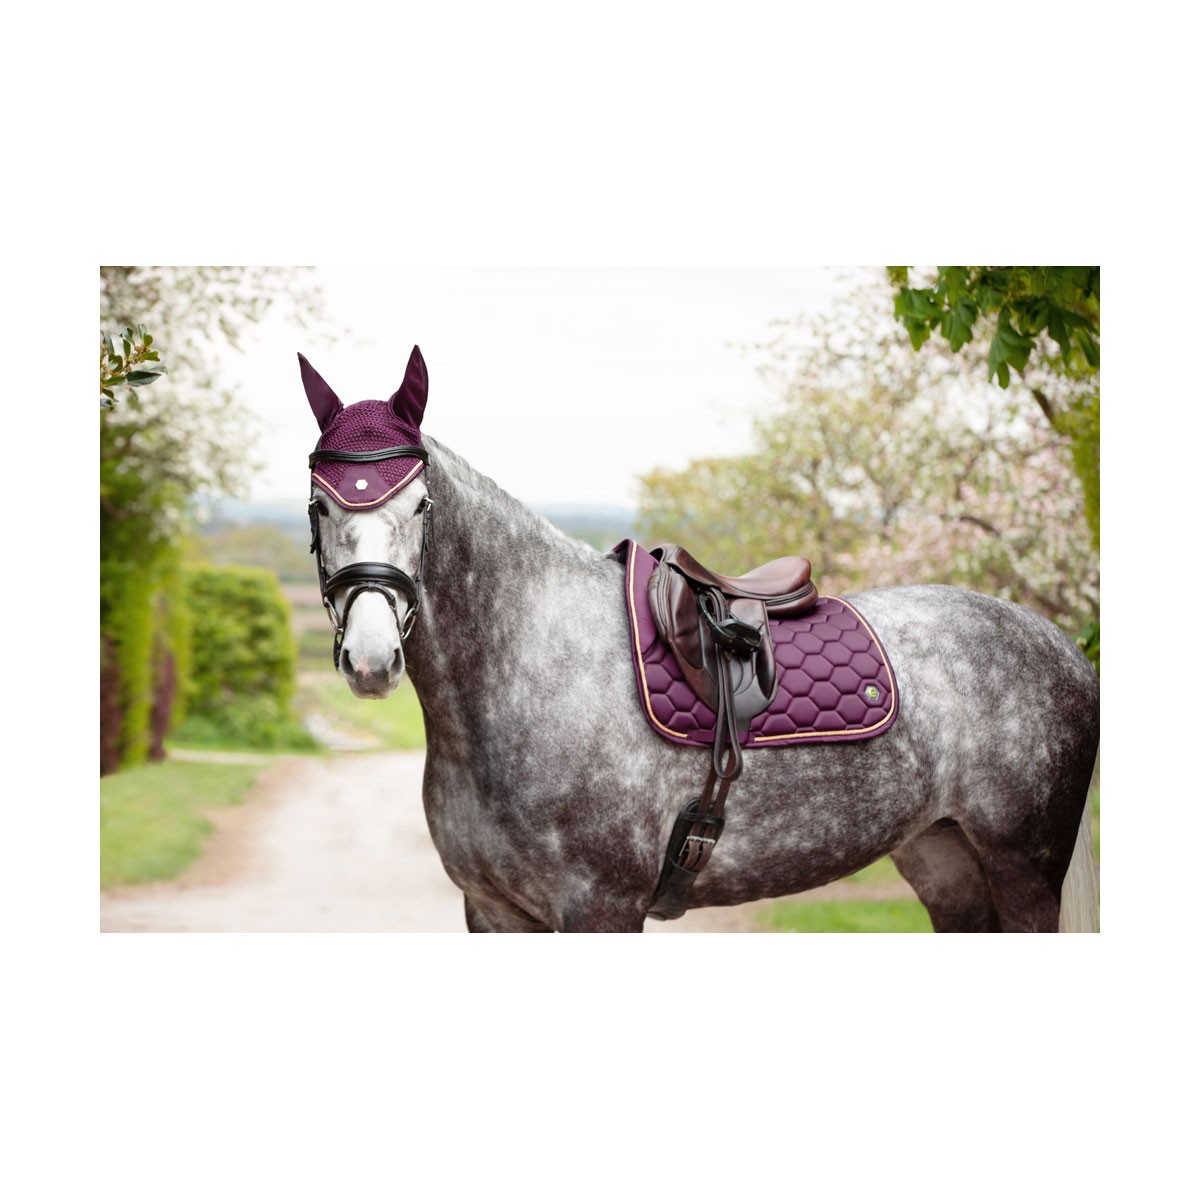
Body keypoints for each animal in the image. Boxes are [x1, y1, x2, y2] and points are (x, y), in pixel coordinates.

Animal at [300, 347, 1100, 933]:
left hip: (1024, 869)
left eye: (421, 503)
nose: (370, 657)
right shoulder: (494, 913)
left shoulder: (599, 911)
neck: (528, 668)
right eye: (318, 505)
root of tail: (1061, 646)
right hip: (945, 860)